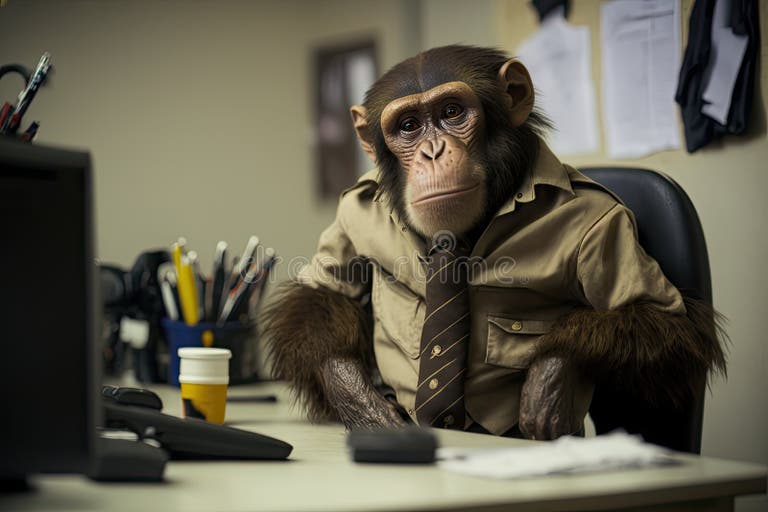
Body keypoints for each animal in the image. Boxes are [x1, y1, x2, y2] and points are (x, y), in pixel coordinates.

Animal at [261, 45, 726, 440]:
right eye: (408, 126)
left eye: (451, 112)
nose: (432, 151)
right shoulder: (351, 211)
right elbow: (323, 295)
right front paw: (361, 403)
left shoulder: (605, 222)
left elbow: (667, 323)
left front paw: (551, 380)